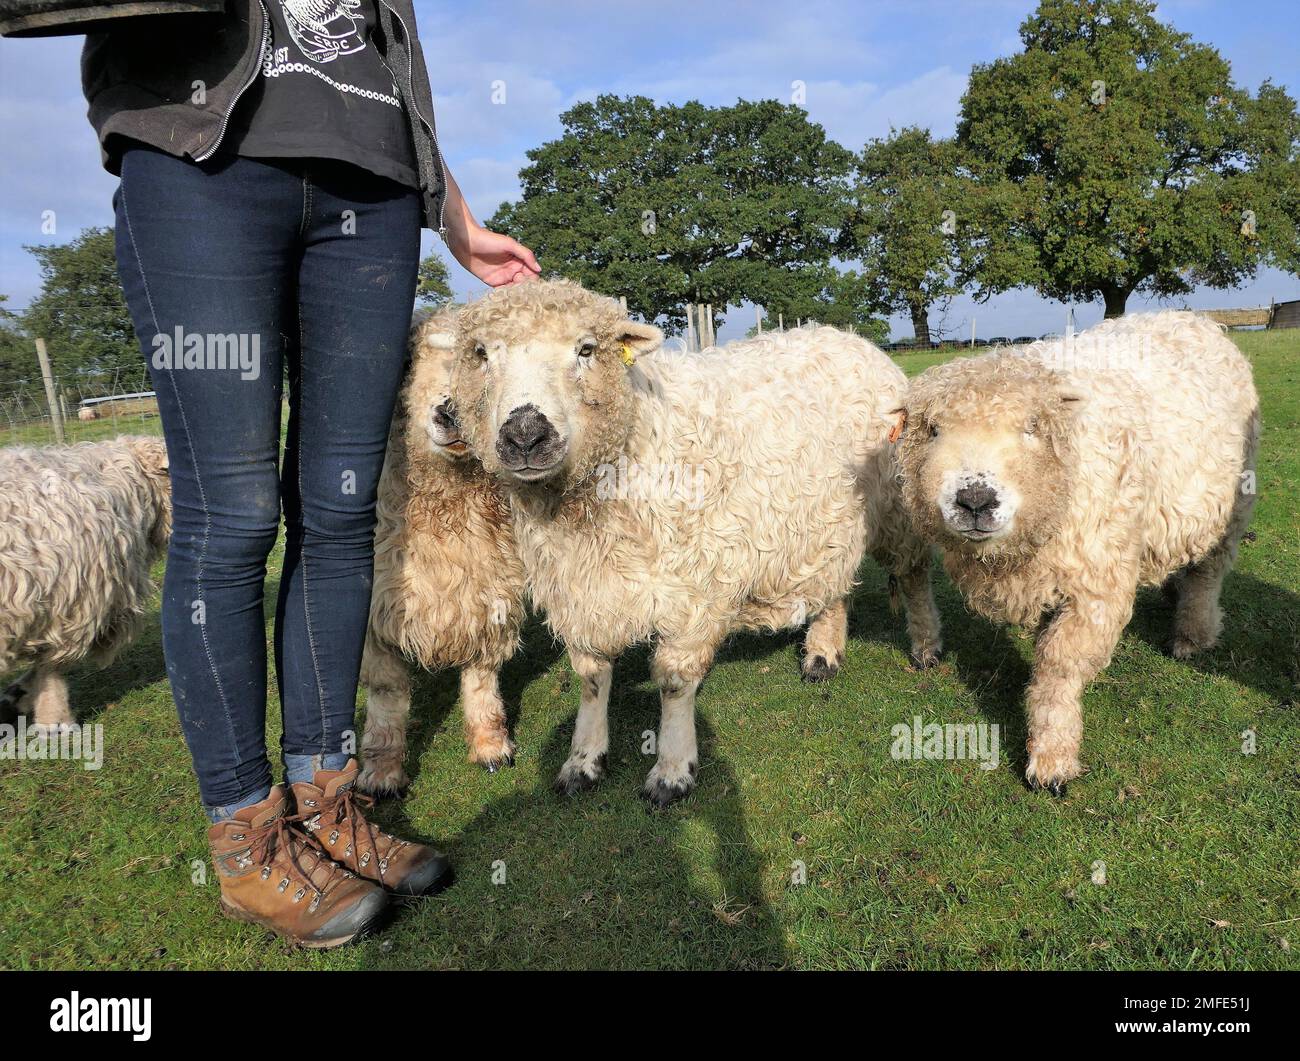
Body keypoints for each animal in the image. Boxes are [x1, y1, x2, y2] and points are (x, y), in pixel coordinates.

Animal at [358, 307, 526, 796]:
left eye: (483, 358)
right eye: (406, 361)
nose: (450, 412)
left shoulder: (493, 591)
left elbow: (482, 679)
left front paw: (491, 745)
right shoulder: (375, 612)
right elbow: (387, 693)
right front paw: (381, 771)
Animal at [449, 279, 943, 806]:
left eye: (586, 349)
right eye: (480, 354)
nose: (525, 435)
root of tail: (848, 337)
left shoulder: (694, 588)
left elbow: (674, 680)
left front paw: (672, 768)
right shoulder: (580, 588)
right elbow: (591, 677)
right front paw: (583, 760)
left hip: (894, 506)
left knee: (913, 573)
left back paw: (925, 647)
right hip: (826, 520)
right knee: (833, 585)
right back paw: (822, 654)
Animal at [893, 311, 1260, 793]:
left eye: (1031, 427)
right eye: (933, 430)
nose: (975, 500)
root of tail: (1192, 319)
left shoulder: (1097, 582)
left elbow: (1059, 665)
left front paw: (1051, 757)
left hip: (1229, 509)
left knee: (1208, 574)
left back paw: (1191, 635)